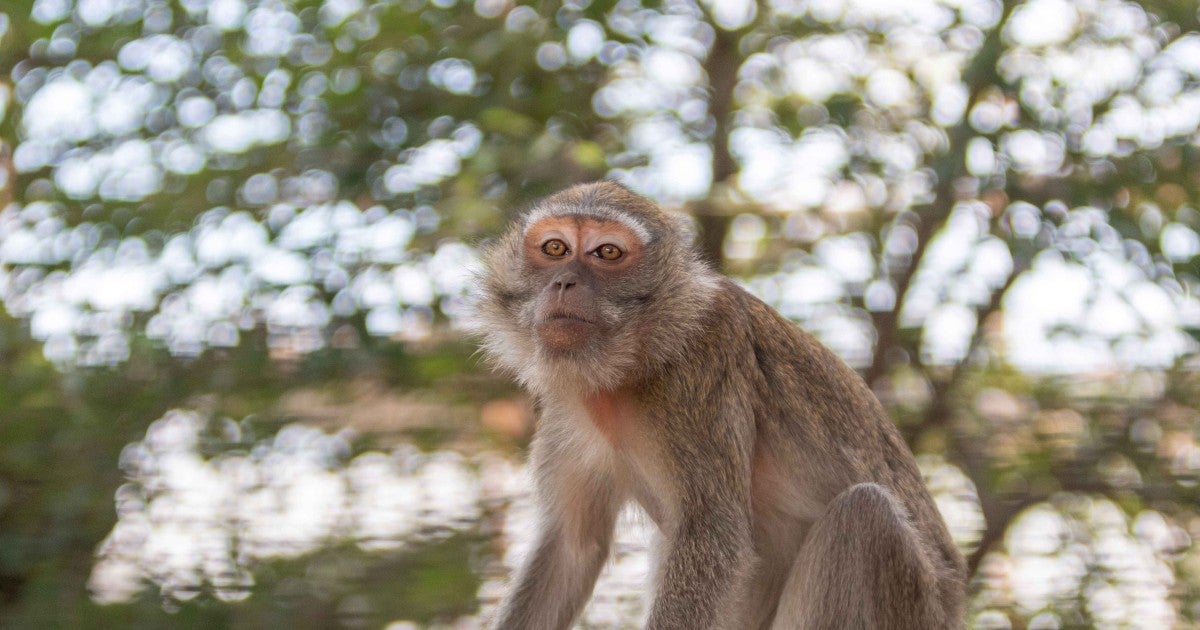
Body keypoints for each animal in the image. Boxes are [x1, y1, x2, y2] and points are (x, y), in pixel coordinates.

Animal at [472, 181, 966, 630]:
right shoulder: (569, 404)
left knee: (864, 514)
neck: (630, 370)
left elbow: (713, 534)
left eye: (607, 253)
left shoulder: (702, 371)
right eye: (555, 248)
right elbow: (572, 548)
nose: (564, 281)